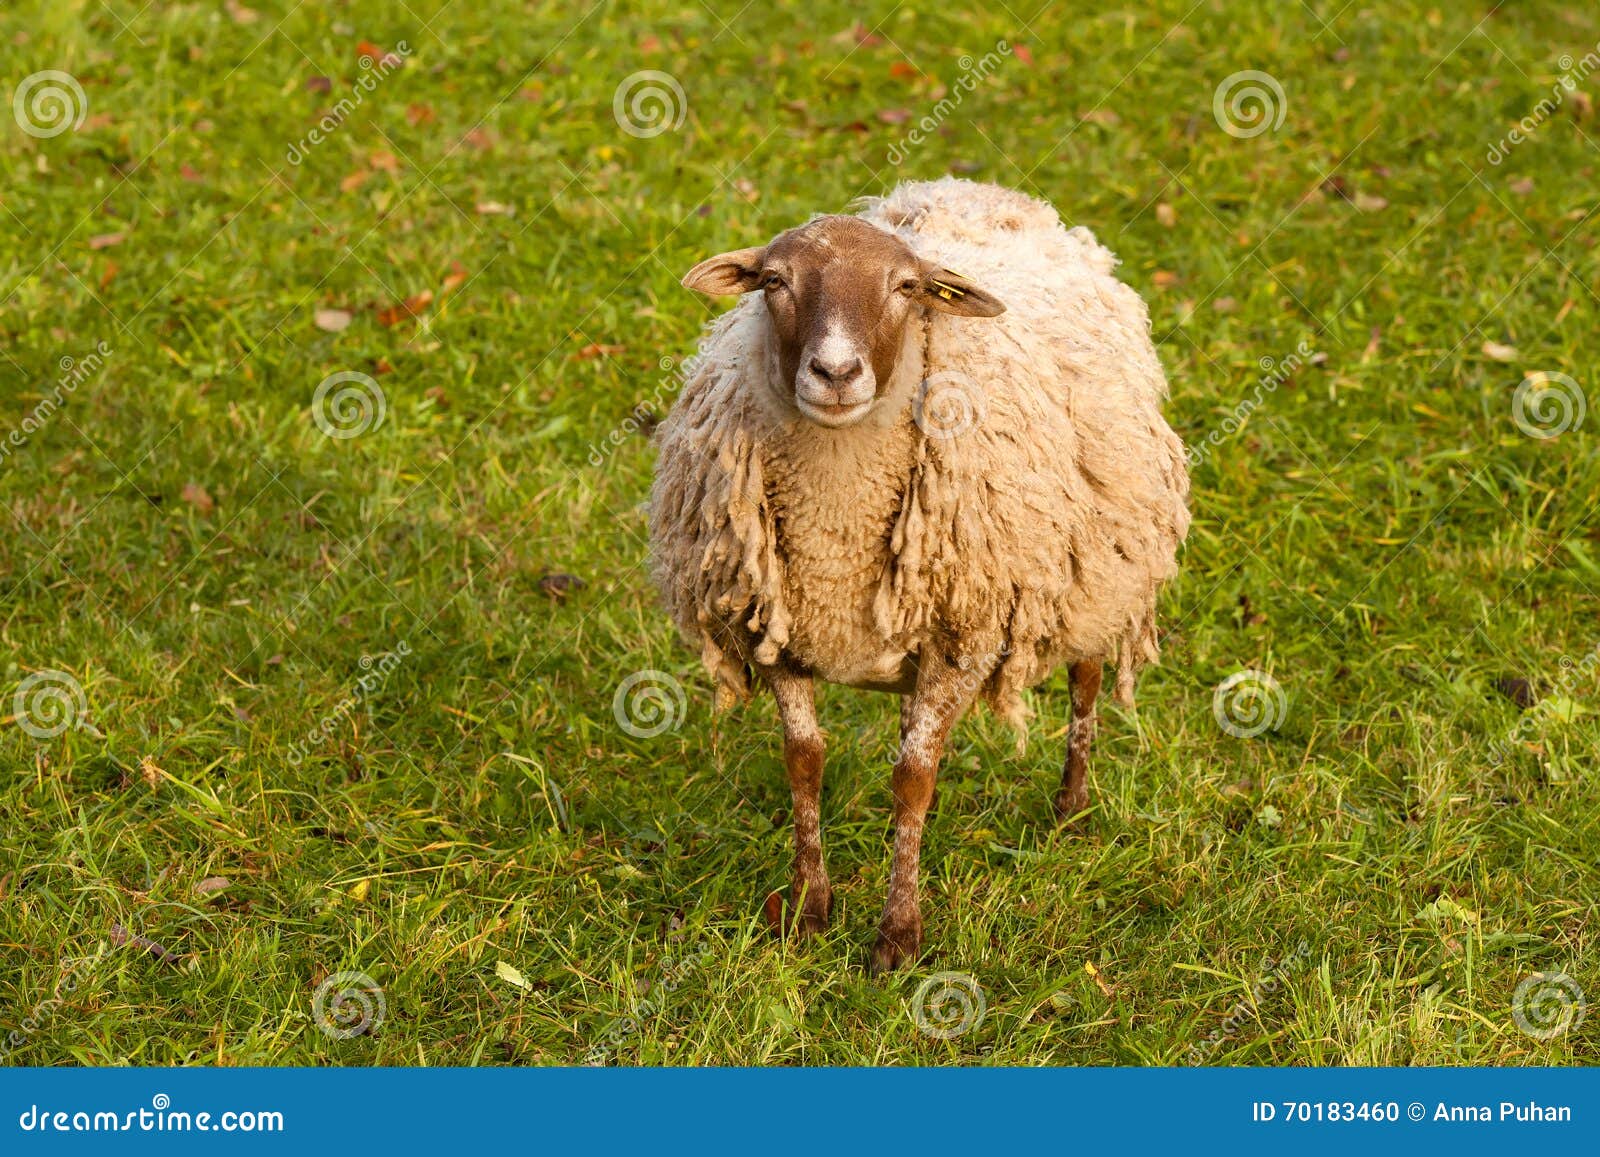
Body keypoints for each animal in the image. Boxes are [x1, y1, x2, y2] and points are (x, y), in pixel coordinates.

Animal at [649, 177, 1190, 971]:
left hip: (1096, 563)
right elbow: (804, 761)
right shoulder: (772, 628)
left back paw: (1070, 809)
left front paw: (896, 938)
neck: (837, 523)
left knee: (1086, 679)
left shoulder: (963, 638)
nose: (836, 374)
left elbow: (914, 779)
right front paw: (809, 911)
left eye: (904, 288)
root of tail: (980, 190)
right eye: (774, 281)